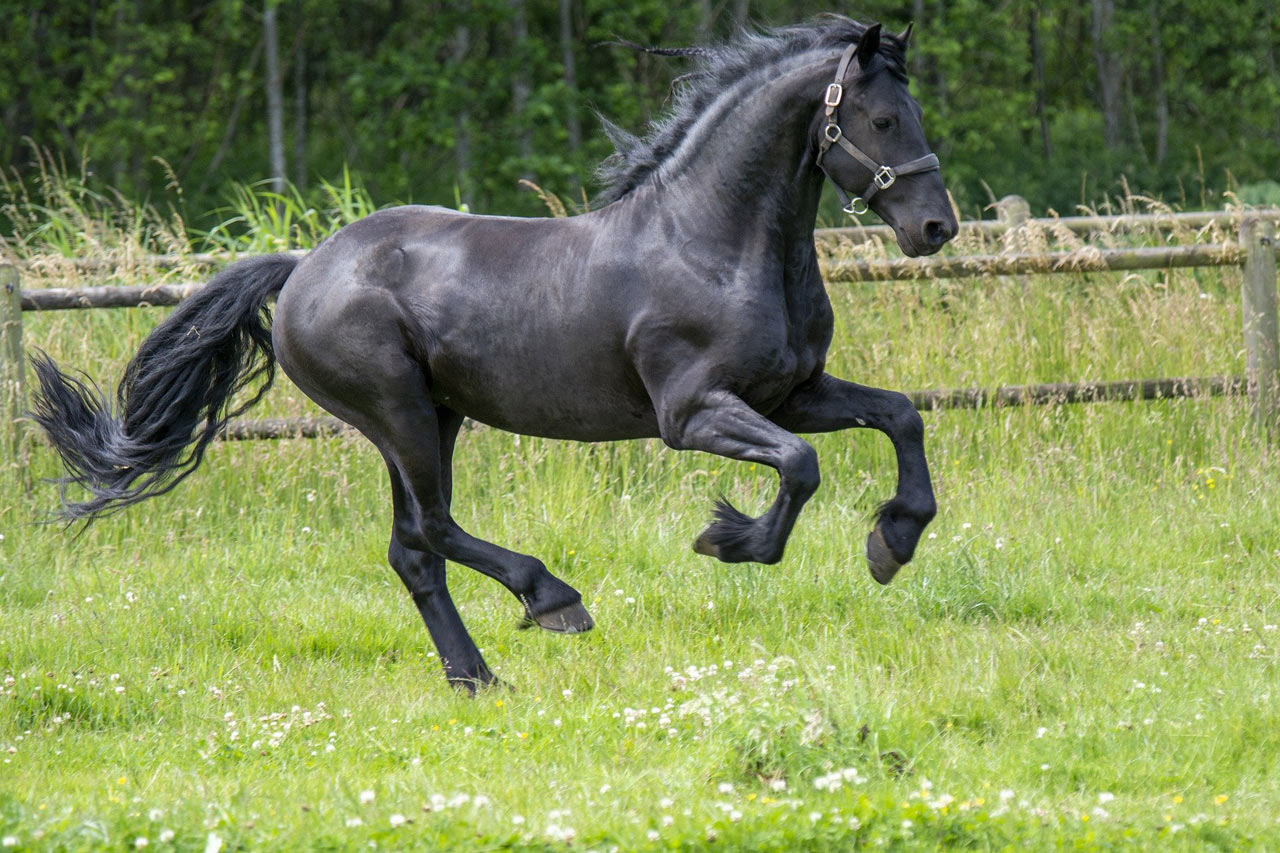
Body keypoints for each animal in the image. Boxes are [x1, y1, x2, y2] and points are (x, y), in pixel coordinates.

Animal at [30, 17, 957, 690]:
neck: (712, 242)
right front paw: (730, 539)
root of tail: (303, 268)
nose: (935, 227)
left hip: (433, 417)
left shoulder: (794, 391)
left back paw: (476, 675)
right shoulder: (693, 412)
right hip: (399, 412)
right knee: (434, 529)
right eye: (880, 119)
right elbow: (800, 465)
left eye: (912, 115)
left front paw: (893, 541)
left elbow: (899, 417)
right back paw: (554, 600)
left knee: (412, 549)